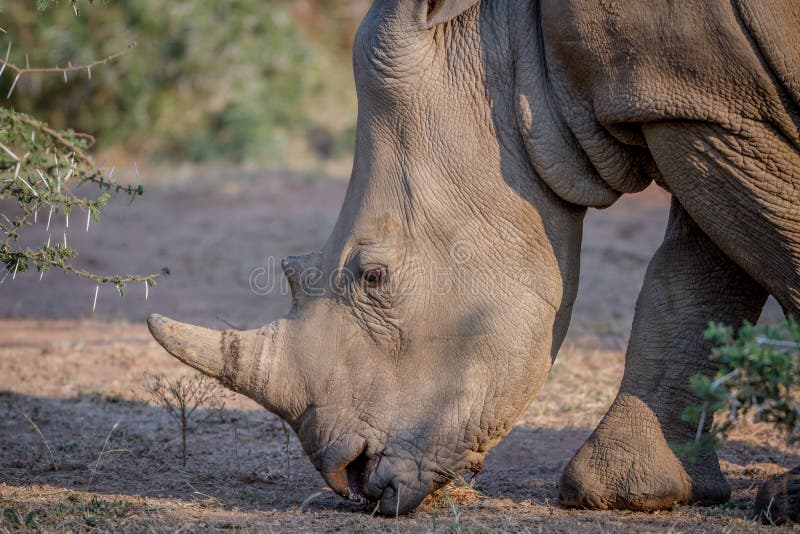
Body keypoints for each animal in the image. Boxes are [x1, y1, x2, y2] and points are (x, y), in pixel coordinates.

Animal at [148, 0, 800, 518]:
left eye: (375, 277)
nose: (349, 476)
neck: (509, 53)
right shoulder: (694, 105)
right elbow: (693, 278)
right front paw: (633, 491)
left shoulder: (704, 106)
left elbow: (769, 249)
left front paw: (783, 502)